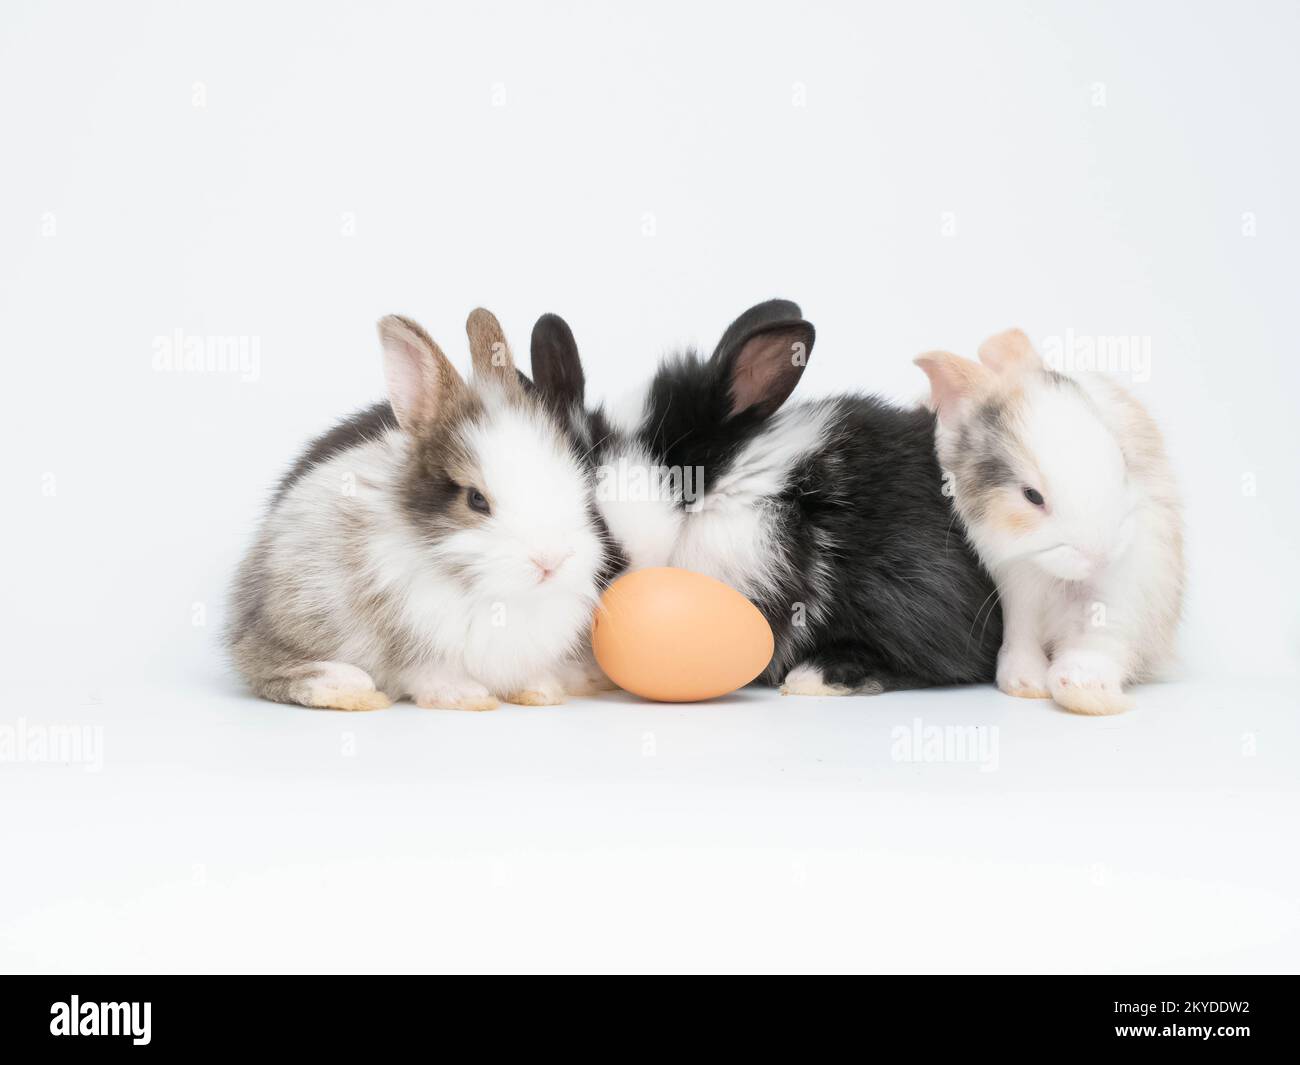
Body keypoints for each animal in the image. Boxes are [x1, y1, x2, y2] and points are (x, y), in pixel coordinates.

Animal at [225, 309, 612, 711]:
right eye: (476, 499)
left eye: (574, 479)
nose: (551, 561)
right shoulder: (416, 648)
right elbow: (431, 674)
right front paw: (468, 697)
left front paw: (542, 691)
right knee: (266, 667)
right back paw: (348, 687)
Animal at [914, 328, 1185, 715]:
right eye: (1032, 496)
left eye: (1121, 458)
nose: (1099, 555)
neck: (1058, 577)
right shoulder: (1015, 585)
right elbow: (1021, 633)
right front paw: (1026, 684)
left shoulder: (1124, 583)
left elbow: (1105, 634)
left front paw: (1085, 690)